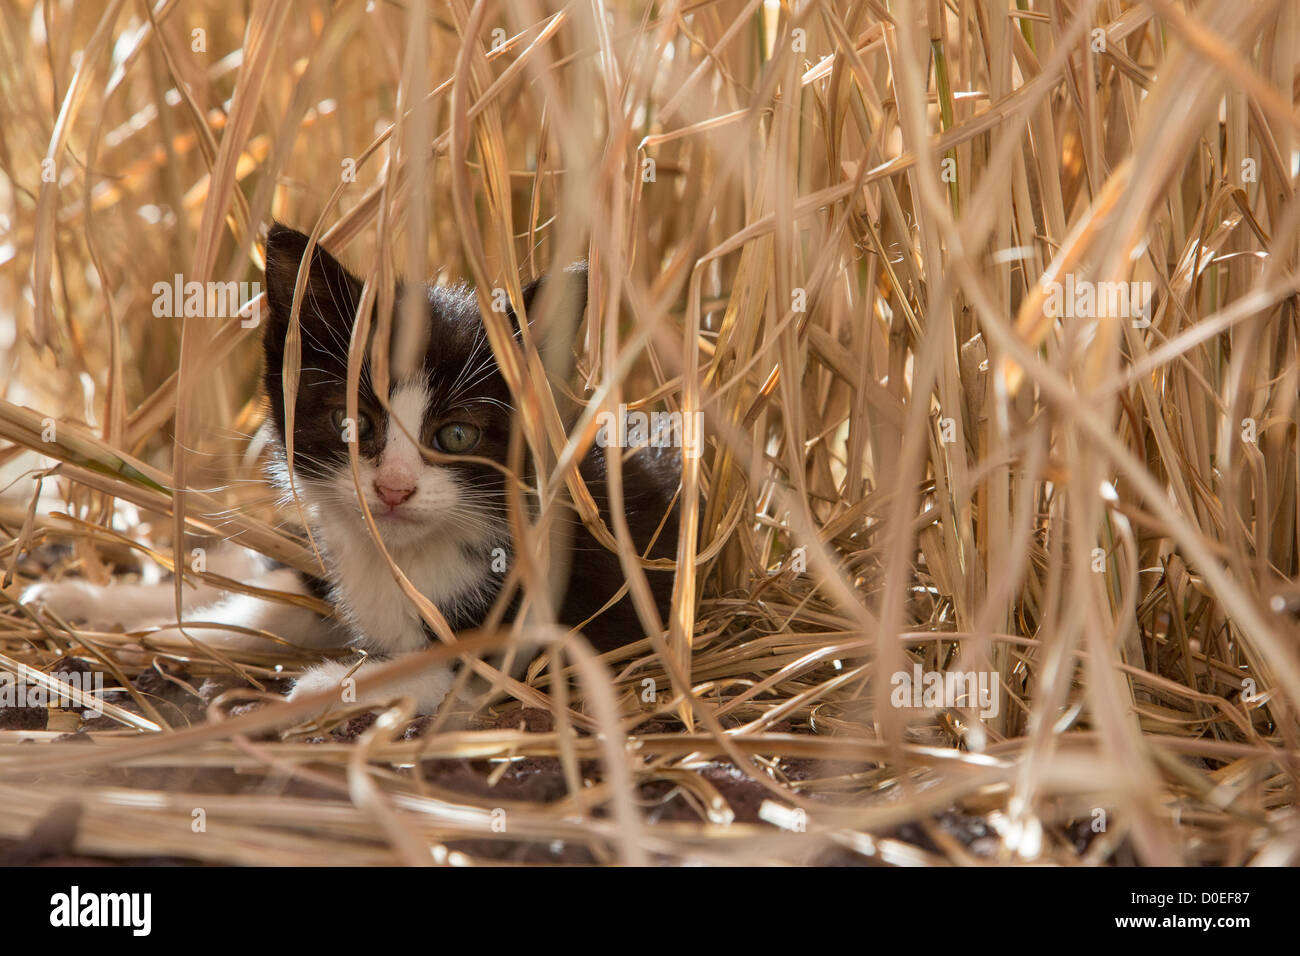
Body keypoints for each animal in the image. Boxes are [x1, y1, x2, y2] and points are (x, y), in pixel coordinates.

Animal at [22, 223, 681, 712]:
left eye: (458, 434)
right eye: (353, 422)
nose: (392, 489)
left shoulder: (550, 627)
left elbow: (451, 670)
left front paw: (324, 682)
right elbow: (270, 600)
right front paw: (167, 629)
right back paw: (81, 598)